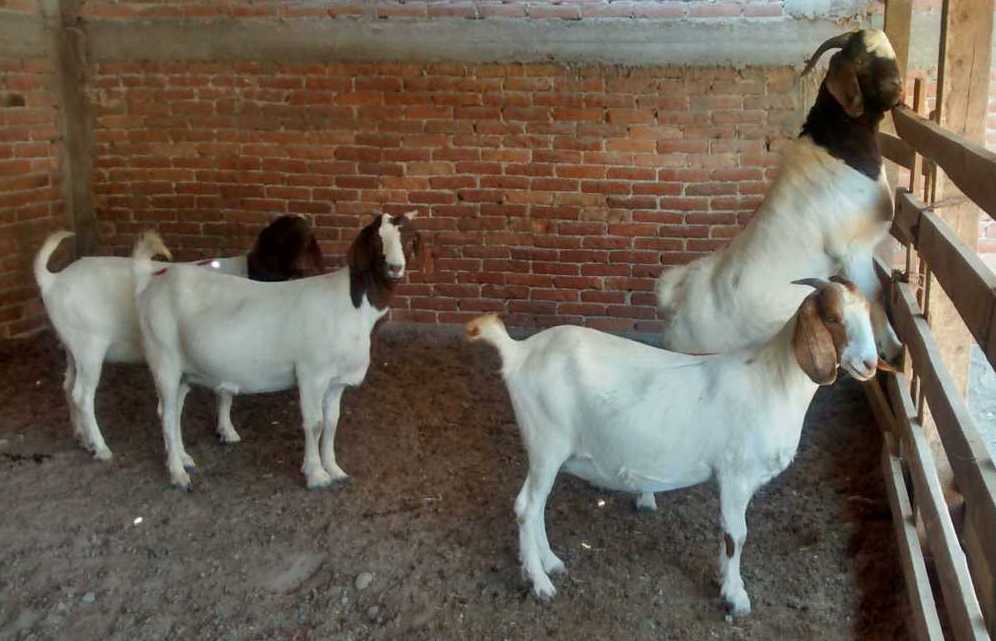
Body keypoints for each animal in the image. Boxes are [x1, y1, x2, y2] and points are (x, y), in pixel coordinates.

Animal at [33, 215, 323, 461]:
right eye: (300, 240)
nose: (320, 264)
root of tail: (52, 280)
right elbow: (225, 393)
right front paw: (226, 430)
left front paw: (224, 430)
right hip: (90, 346)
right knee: (82, 394)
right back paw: (101, 447)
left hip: (73, 348)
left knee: (68, 386)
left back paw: (82, 438)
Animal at [132, 212, 421, 490]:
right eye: (376, 239)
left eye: (408, 240)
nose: (395, 267)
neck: (352, 306)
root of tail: (153, 282)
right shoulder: (311, 374)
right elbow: (315, 423)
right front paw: (316, 475)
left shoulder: (336, 381)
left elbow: (331, 423)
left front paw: (334, 469)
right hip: (164, 360)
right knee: (168, 415)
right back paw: (178, 474)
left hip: (185, 369)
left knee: (173, 412)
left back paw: (183, 459)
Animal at [467, 277, 887, 616]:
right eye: (833, 318)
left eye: (867, 315)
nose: (870, 363)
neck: (771, 381)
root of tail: (519, 352)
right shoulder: (736, 473)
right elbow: (737, 534)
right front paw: (735, 597)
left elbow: (727, 532)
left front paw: (722, 578)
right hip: (546, 442)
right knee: (526, 506)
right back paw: (540, 583)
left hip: (547, 453)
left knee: (536, 507)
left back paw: (550, 562)